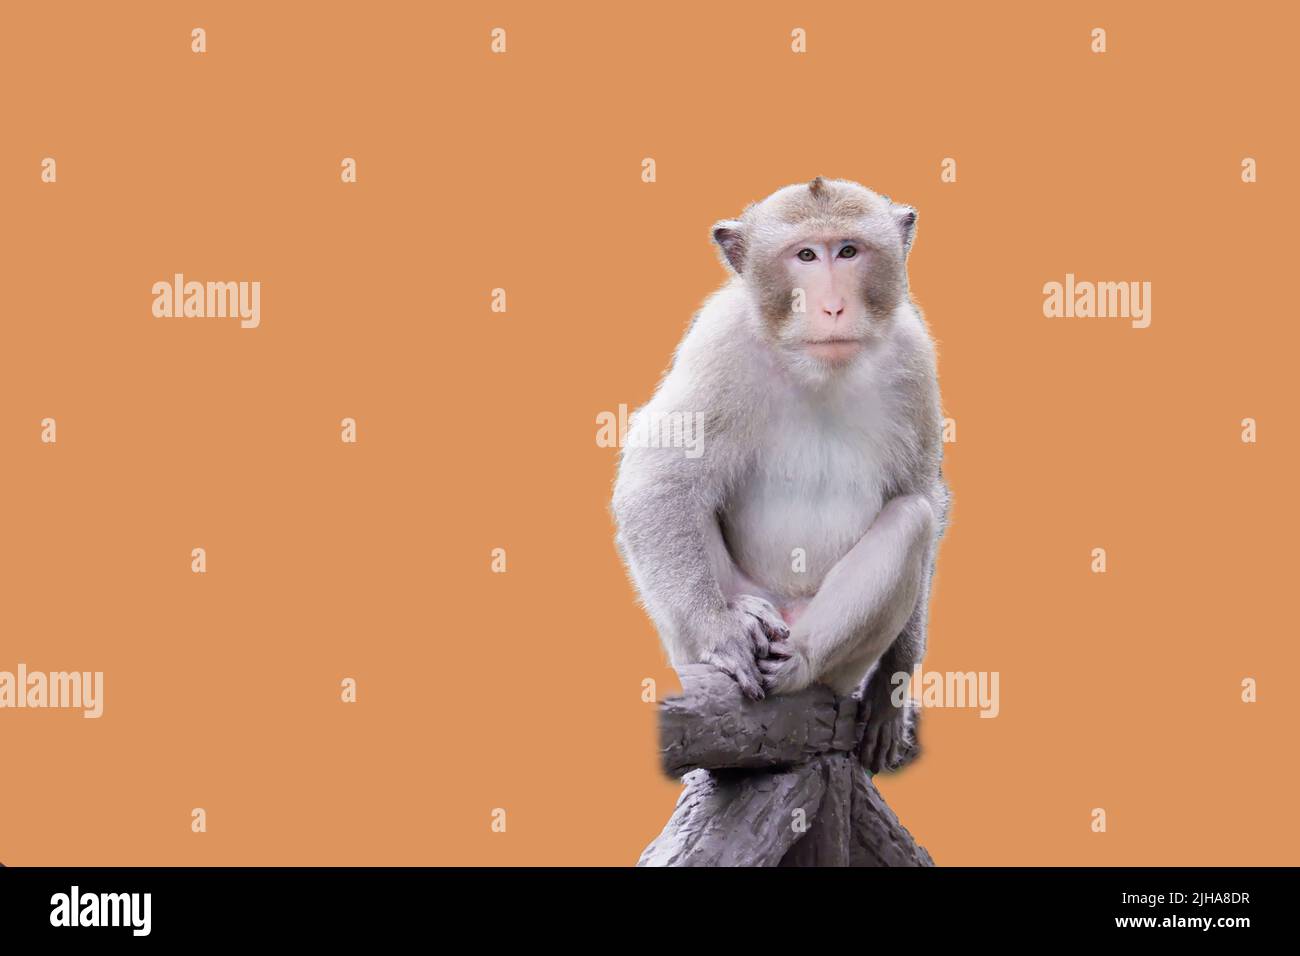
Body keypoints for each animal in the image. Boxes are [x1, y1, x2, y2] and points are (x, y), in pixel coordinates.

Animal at [612, 177, 949, 774]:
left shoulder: (914, 355)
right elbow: (660, 481)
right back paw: (745, 616)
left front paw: (893, 686)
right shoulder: (719, 341)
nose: (833, 306)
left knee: (911, 520)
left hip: (835, 663)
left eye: (848, 251)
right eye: (806, 256)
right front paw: (722, 632)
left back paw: (799, 663)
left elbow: (918, 491)